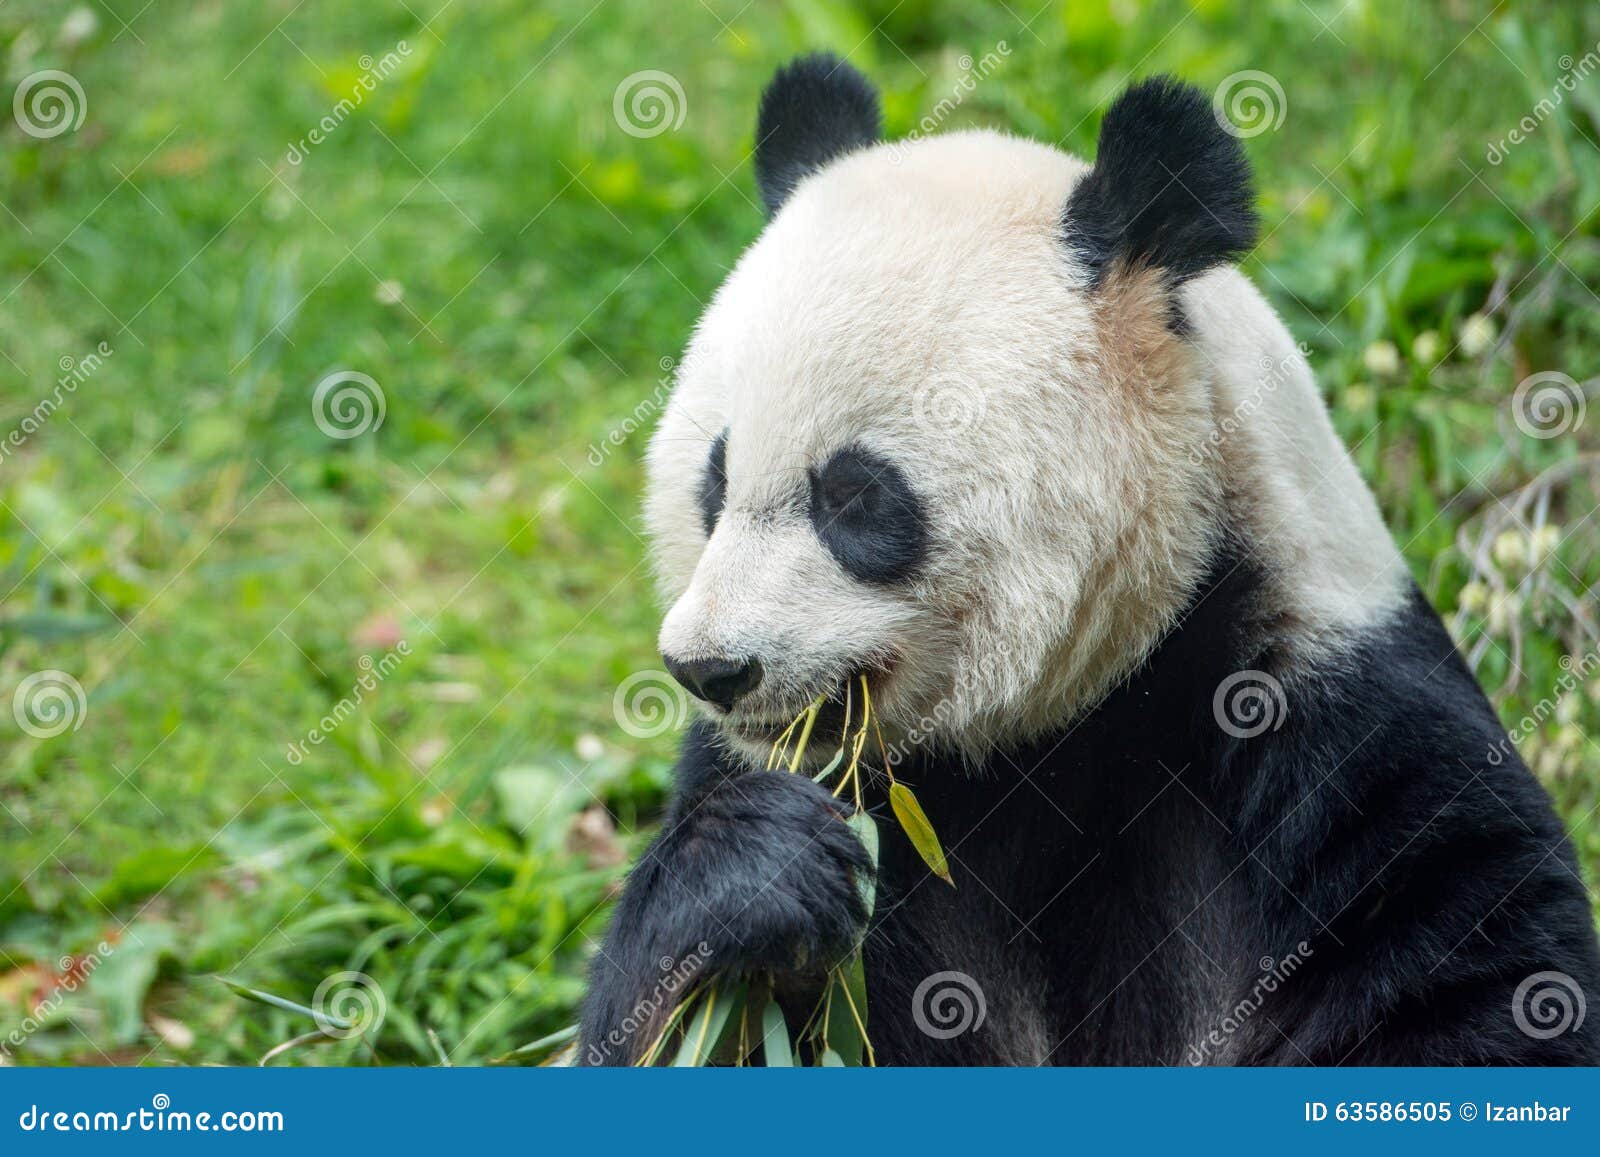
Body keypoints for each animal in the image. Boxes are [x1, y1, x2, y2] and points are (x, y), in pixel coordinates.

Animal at [579, 54, 1600, 1065]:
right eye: (714, 480)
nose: (711, 667)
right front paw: (755, 878)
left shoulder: (1332, 710)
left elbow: (1477, 983)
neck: (1053, 730)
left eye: (857, 496)